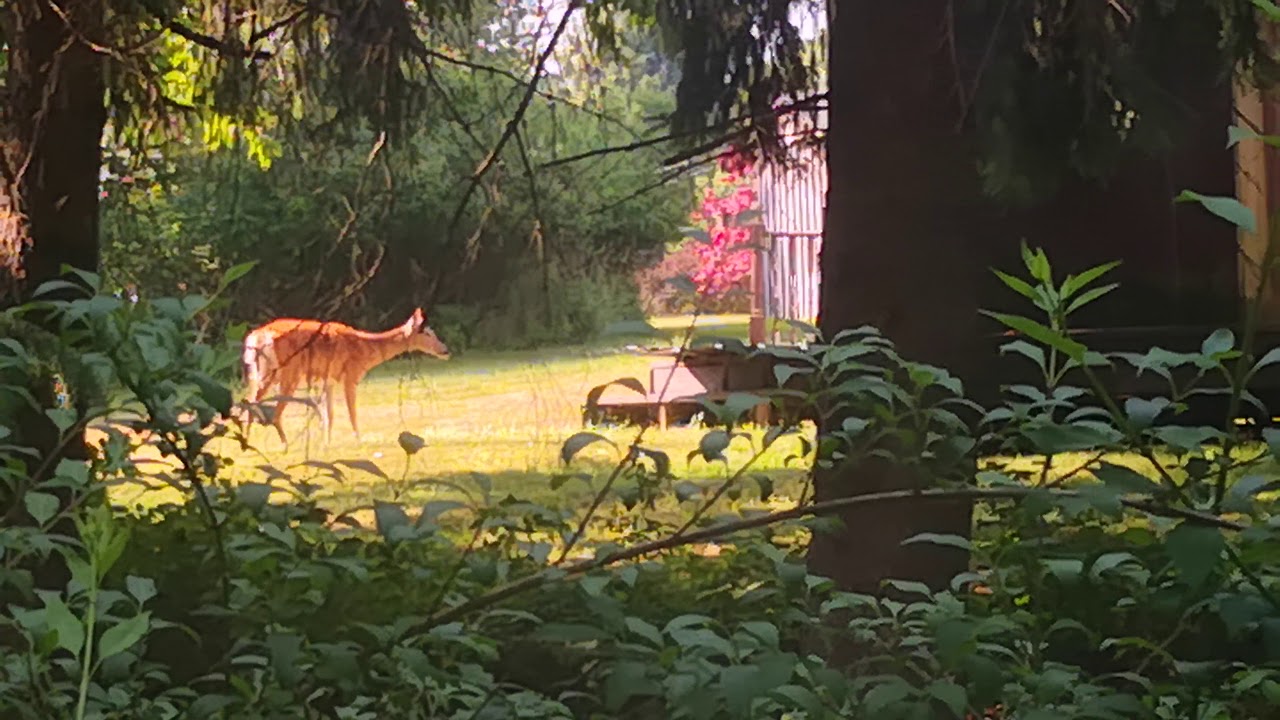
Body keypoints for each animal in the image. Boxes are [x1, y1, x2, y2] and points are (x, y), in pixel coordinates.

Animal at [240, 307, 450, 444]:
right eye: (427, 333)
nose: (446, 350)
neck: (366, 349)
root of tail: (256, 337)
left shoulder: (329, 380)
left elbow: (330, 415)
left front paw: (327, 445)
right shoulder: (351, 375)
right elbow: (352, 412)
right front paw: (359, 441)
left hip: (258, 373)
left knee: (250, 401)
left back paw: (248, 441)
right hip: (284, 373)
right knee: (269, 409)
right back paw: (282, 445)